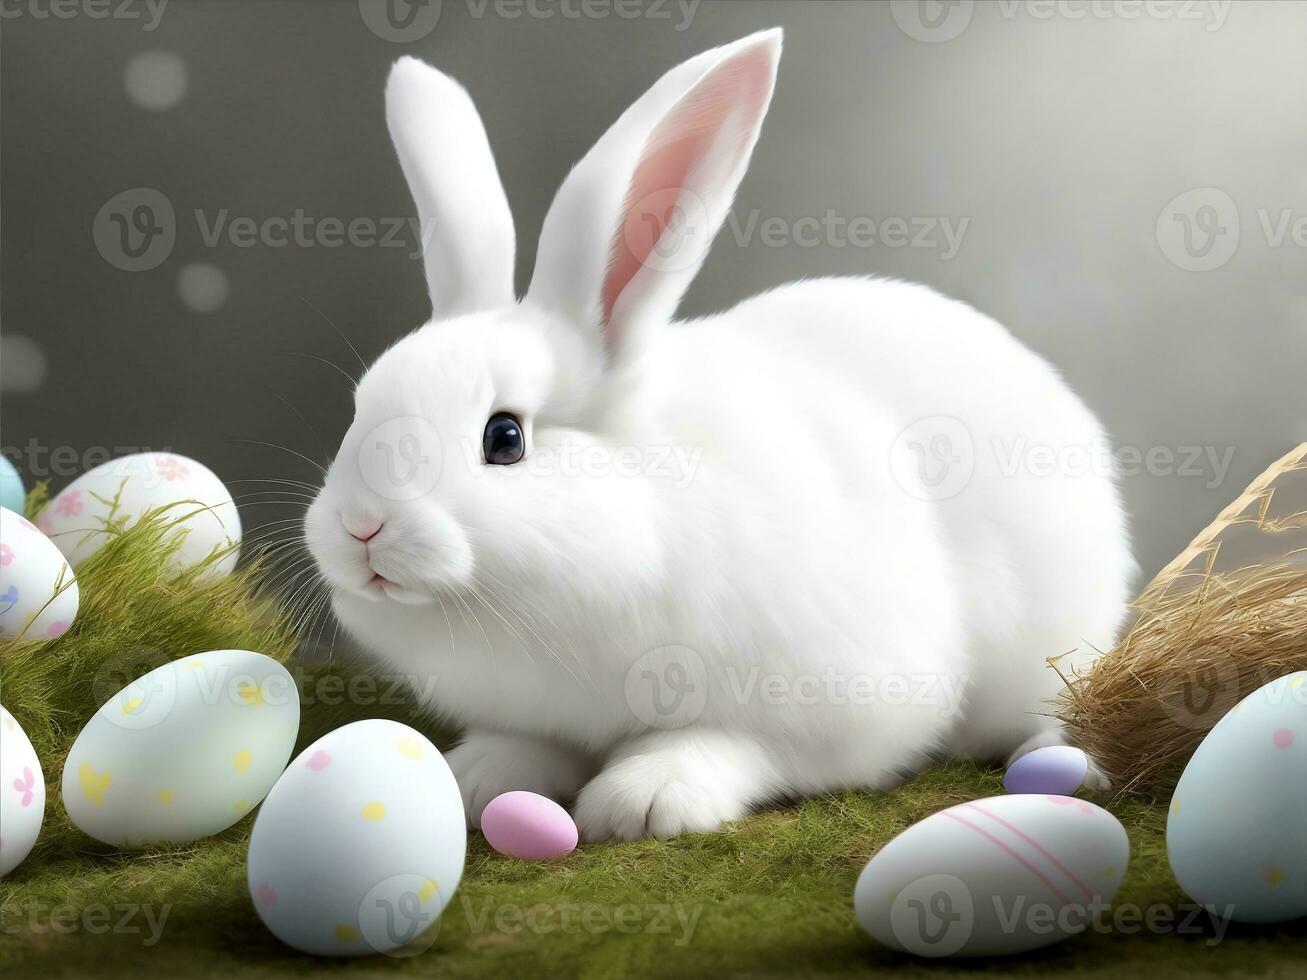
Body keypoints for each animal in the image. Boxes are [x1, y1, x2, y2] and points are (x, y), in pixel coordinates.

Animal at [304, 28, 1135, 841]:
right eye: (359, 408)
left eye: (504, 438)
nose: (361, 527)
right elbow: (530, 744)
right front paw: (475, 779)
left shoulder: (840, 699)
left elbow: (734, 742)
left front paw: (643, 798)